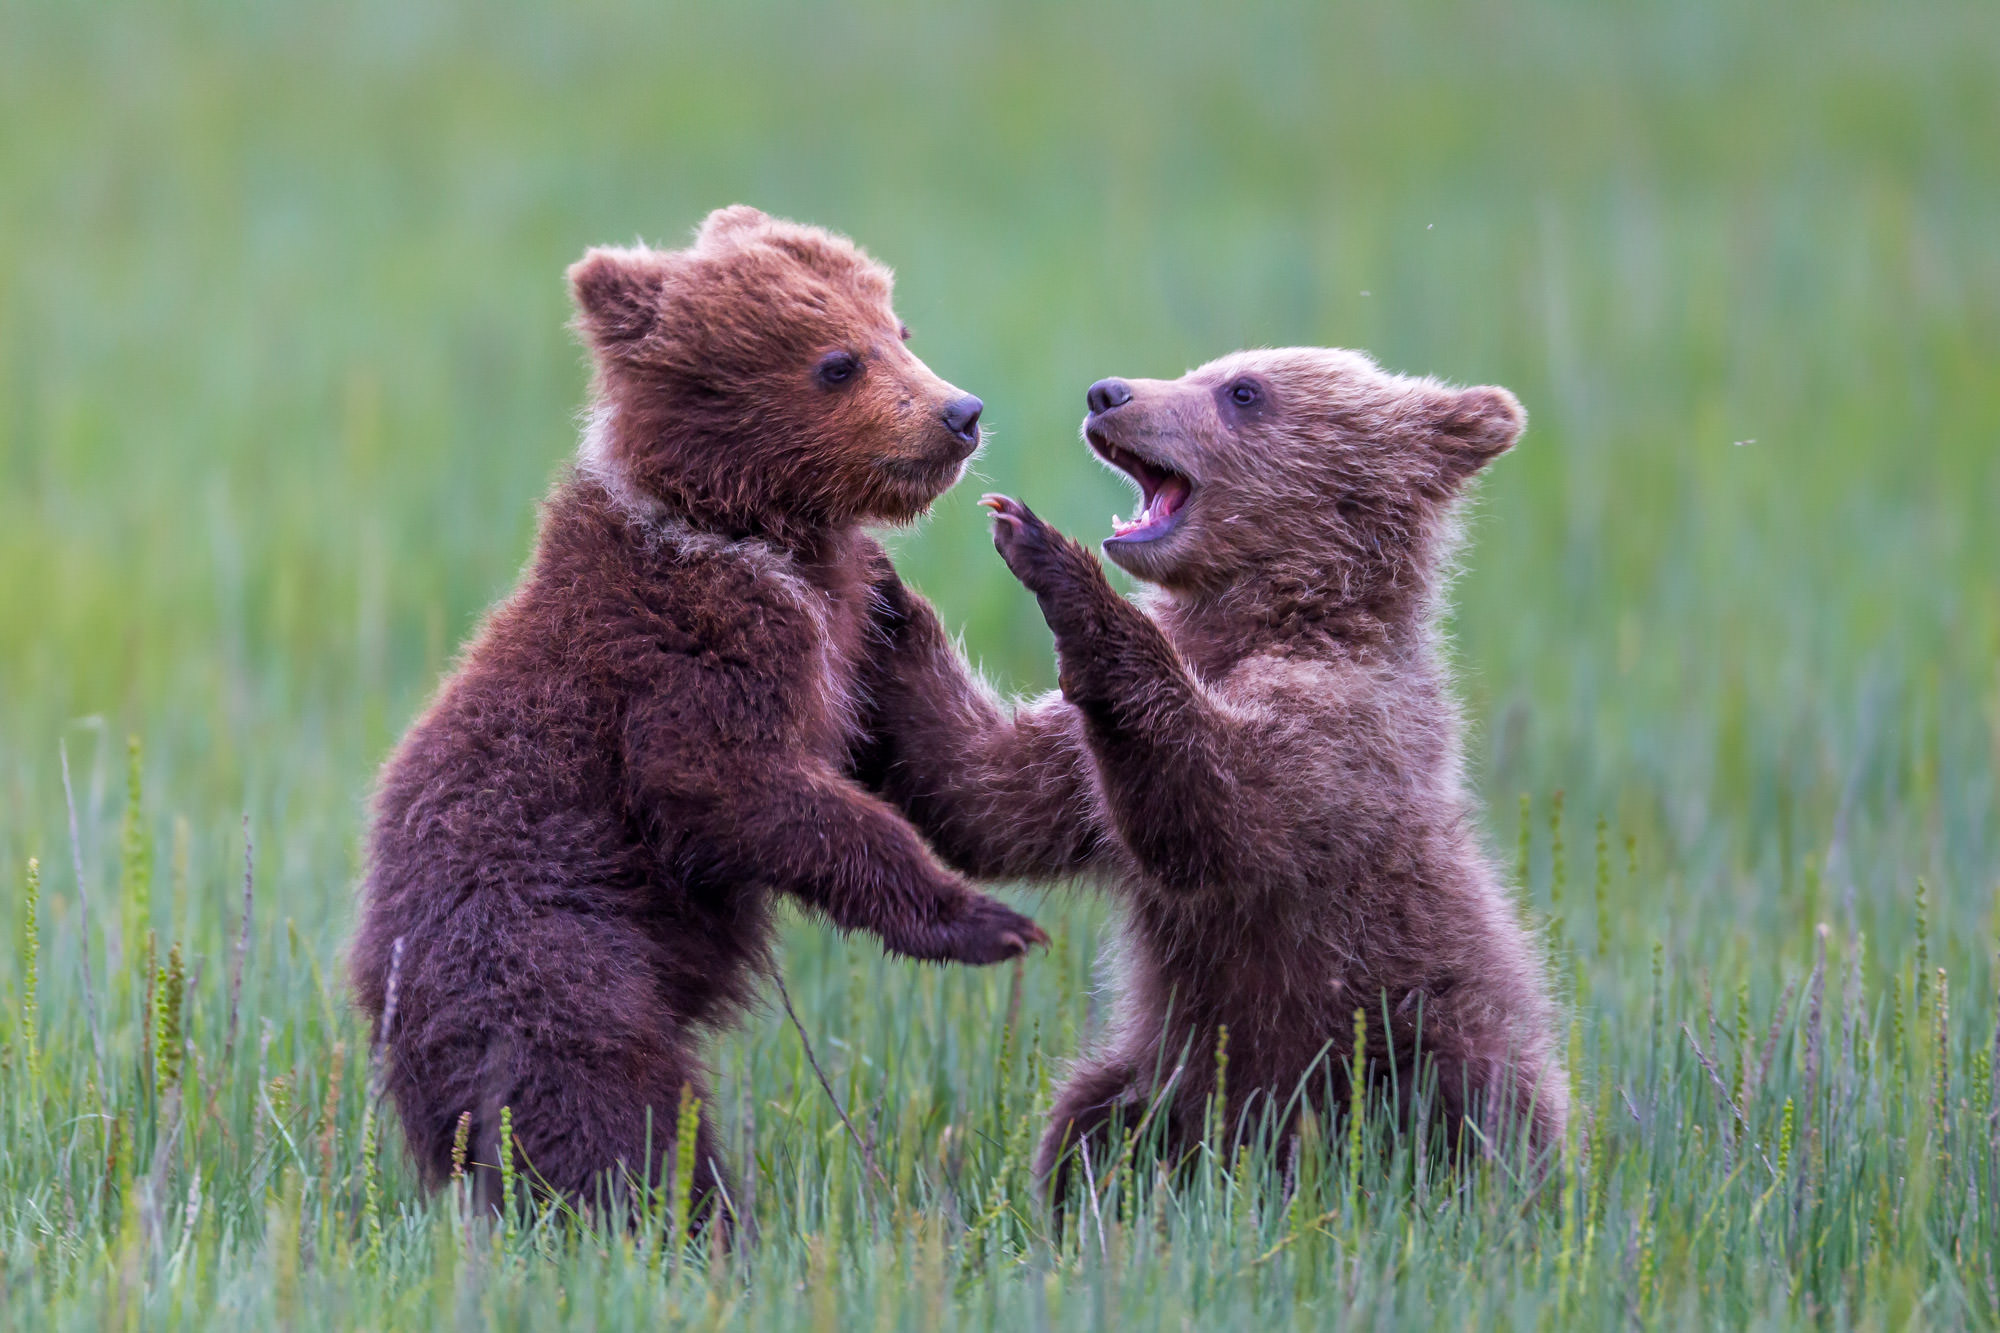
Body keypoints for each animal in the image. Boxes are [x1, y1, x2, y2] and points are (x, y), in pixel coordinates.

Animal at [351, 205, 1045, 1224]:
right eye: (838, 360)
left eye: (898, 329)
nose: (961, 413)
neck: (741, 525)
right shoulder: (687, 653)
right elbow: (735, 784)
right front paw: (986, 920)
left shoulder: (839, 648)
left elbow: (915, 743)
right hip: (545, 950)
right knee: (605, 1106)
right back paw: (696, 1220)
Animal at [857, 347, 1567, 1196]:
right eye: (1207, 369)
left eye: (1243, 392)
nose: (1108, 392)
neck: (1269, 616)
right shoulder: (1083, 765)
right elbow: (986, 792)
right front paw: (880, 586)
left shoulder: (1348, 730)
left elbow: (1220, 811)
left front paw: (1054, 560)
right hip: (1176, 1075)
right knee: (1092, 1118)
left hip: (1413, 1028)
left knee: (1467, 1117)